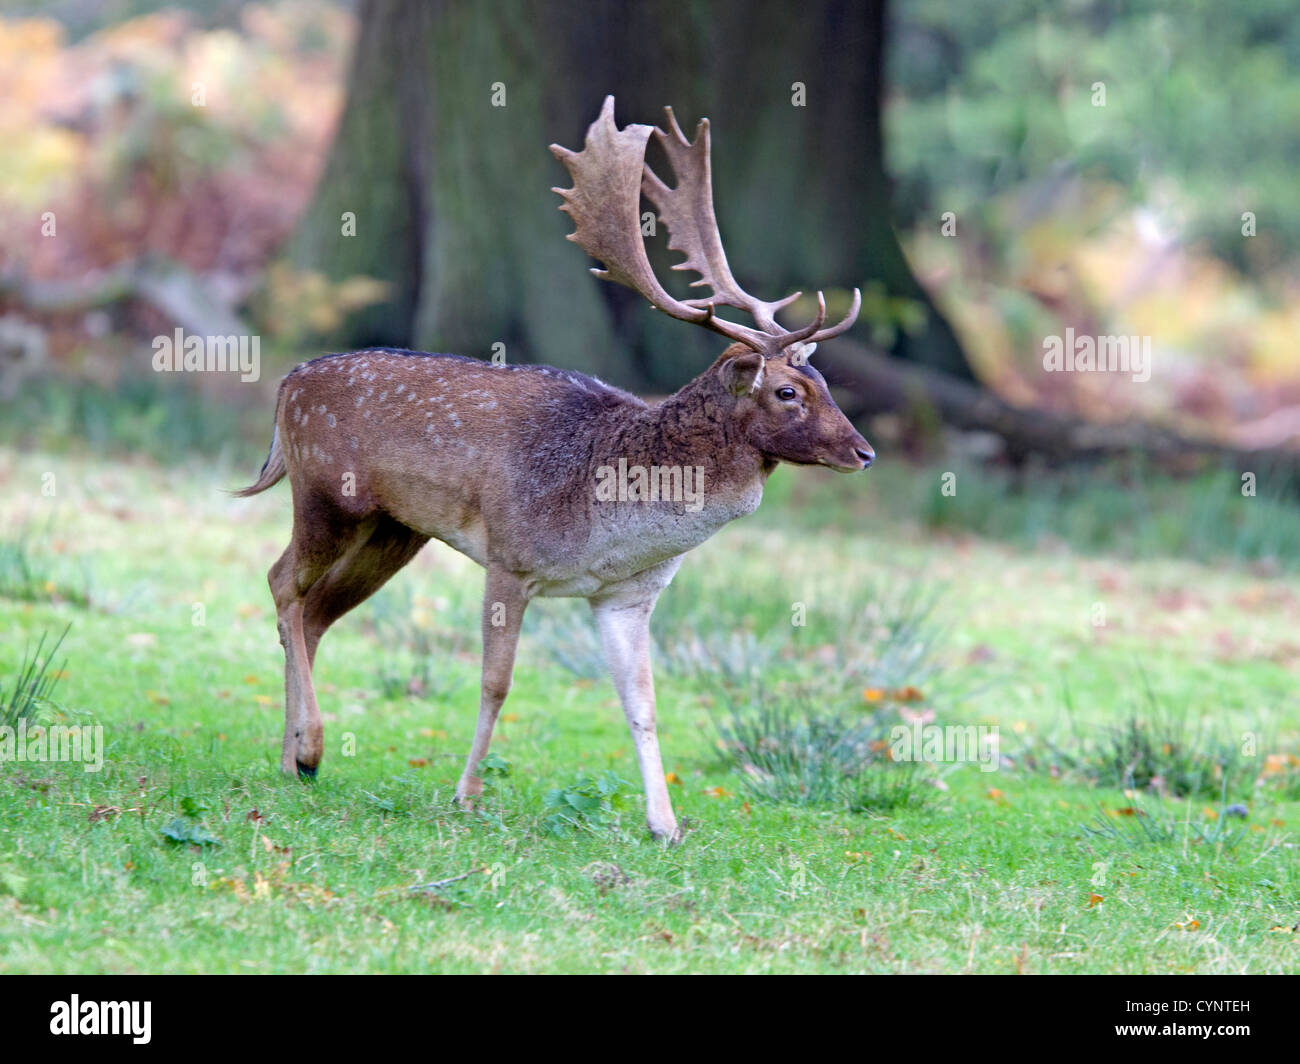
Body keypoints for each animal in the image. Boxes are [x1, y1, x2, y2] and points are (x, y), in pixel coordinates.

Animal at [235, 96, 873, 841]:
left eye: (824, 381)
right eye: (788, 392)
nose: (864, 451)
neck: (611, 520)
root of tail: (286, 385)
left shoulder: (626, 596)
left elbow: (643, 704)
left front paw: (664, 824)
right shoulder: (511, 557)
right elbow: (496, 683)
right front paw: (467, 794)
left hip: (395, 530)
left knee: (314, 614)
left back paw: (292, 762)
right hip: (325, 495)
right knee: (281, 583)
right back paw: (308, 747)